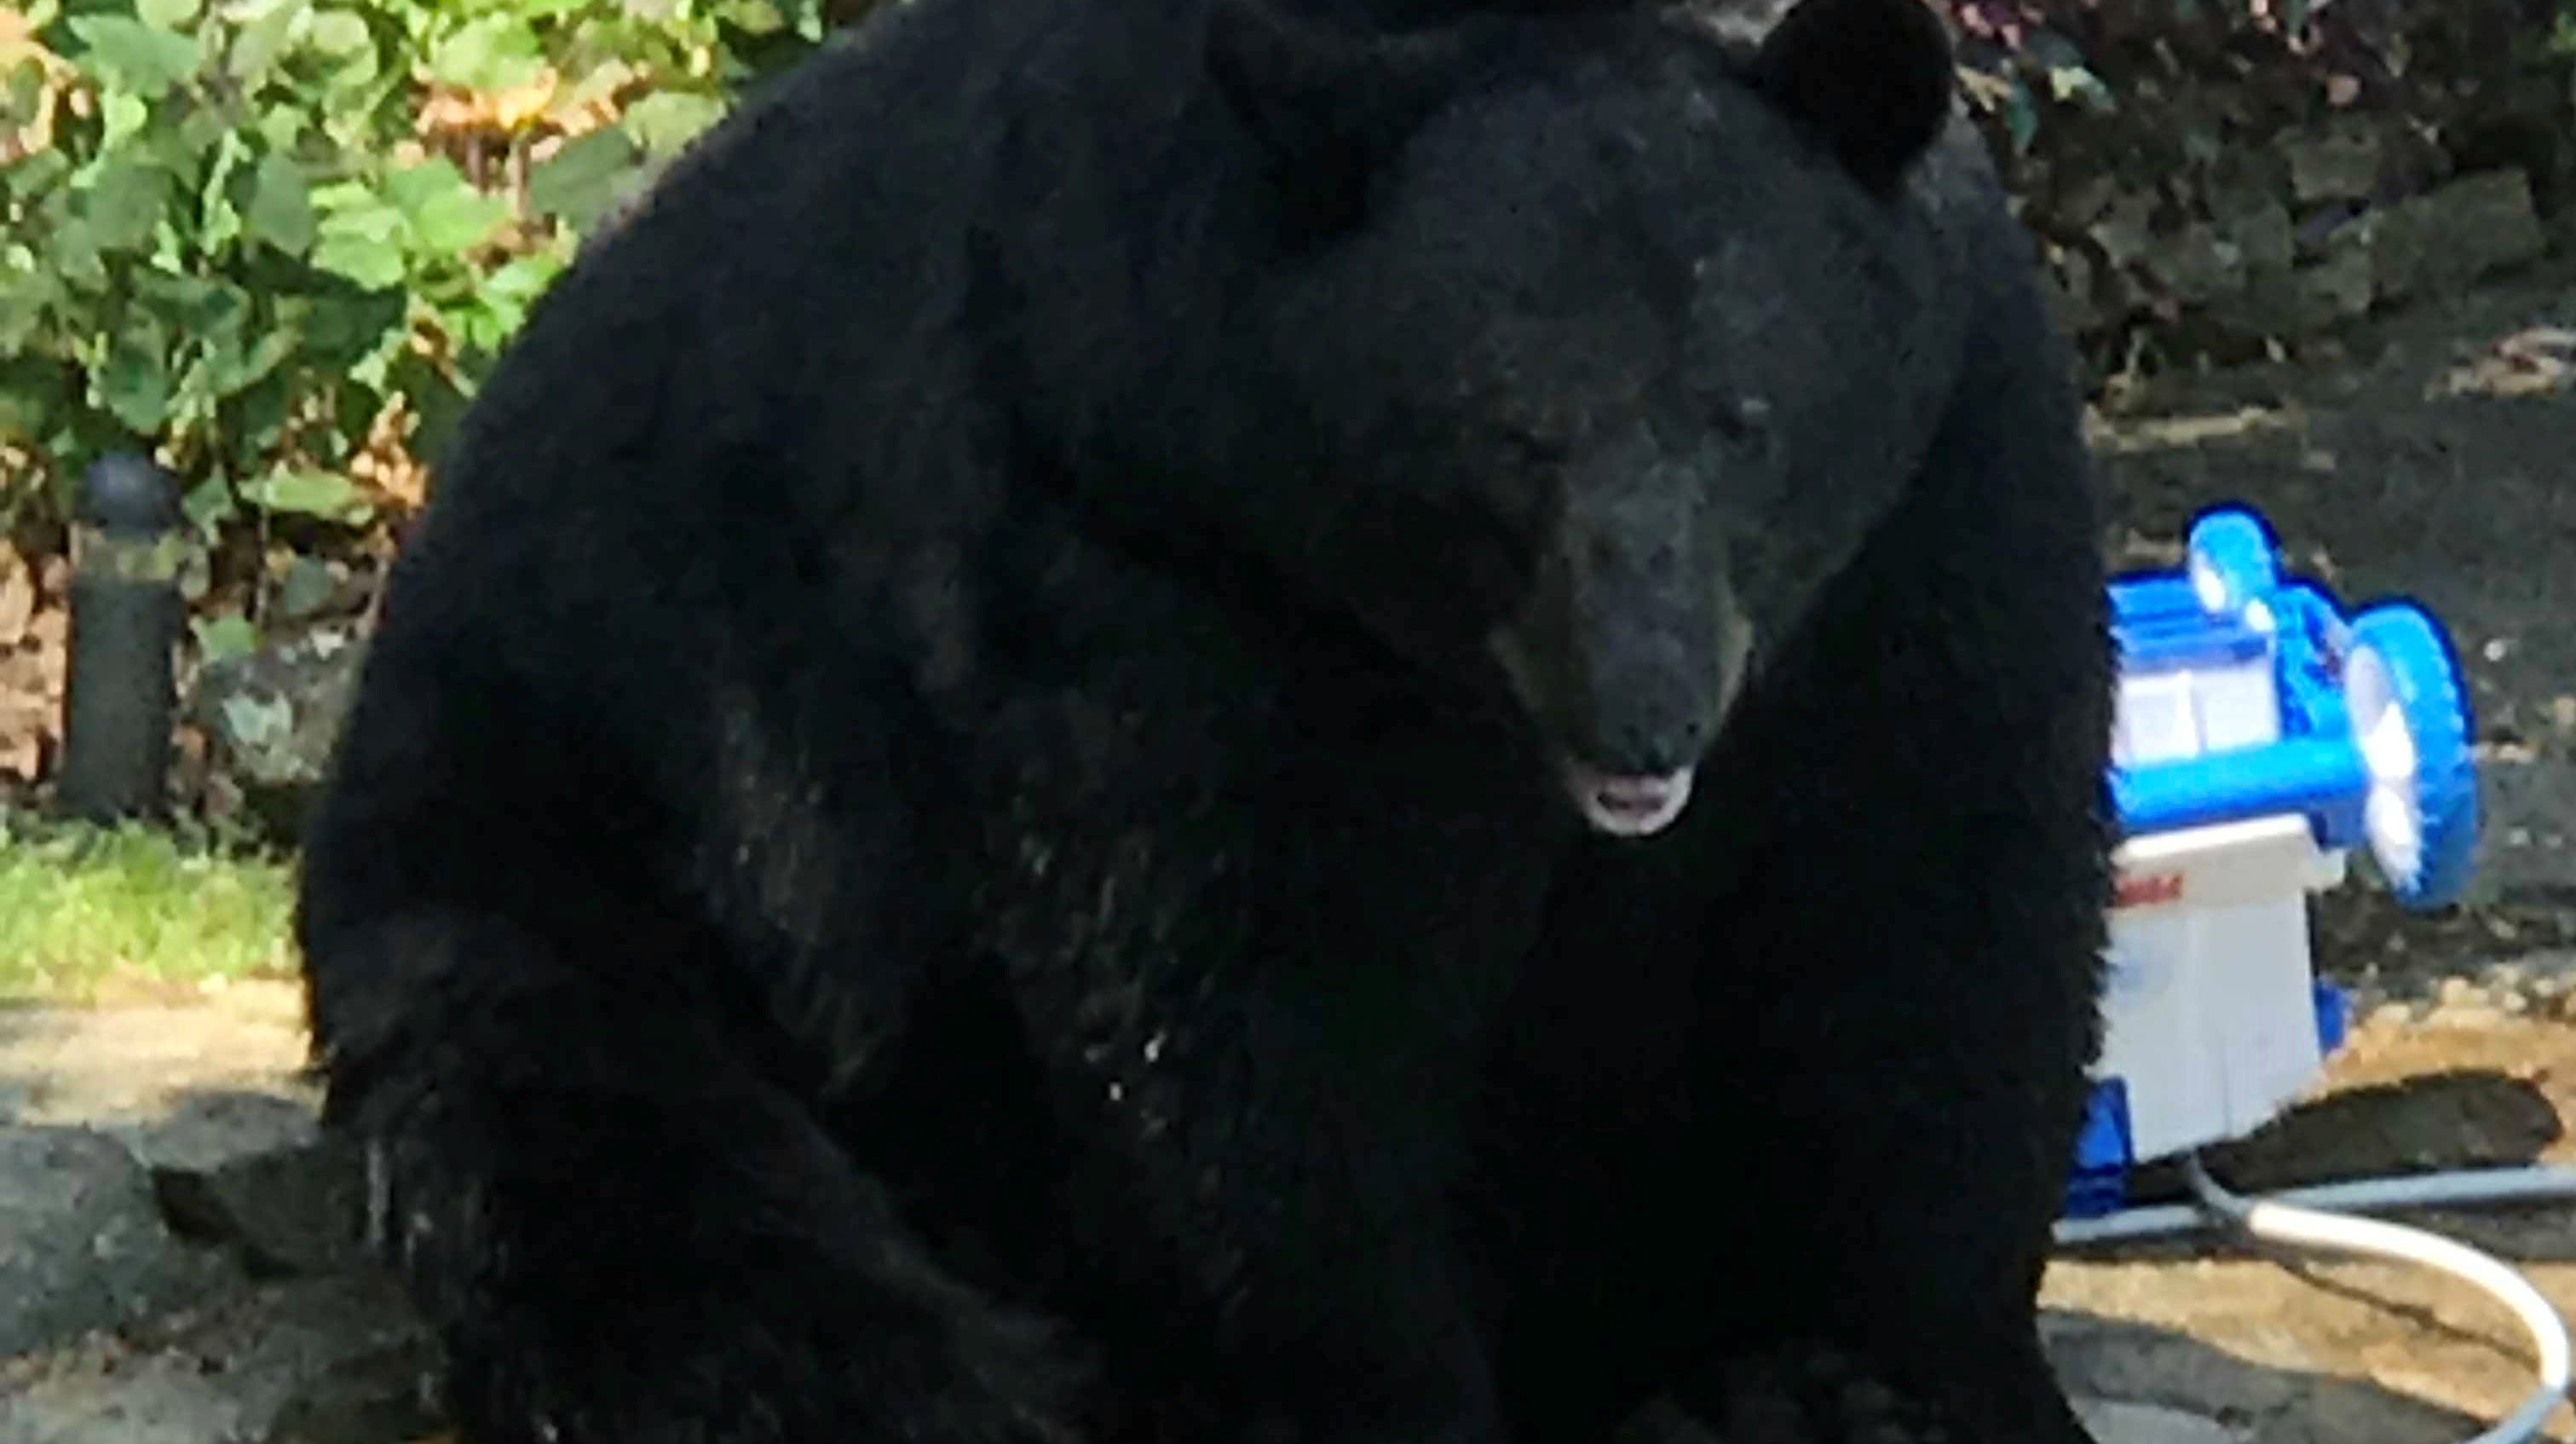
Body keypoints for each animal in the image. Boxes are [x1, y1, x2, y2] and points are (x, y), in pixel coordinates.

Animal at [291, 0, 2115, 1439]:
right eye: (1508, 434)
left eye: (1743, 417)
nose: (1647, 713)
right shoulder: (1152, 536)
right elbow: (1240, 993)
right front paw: (1372, 1384)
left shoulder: (1938, 507)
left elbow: (1933, 909)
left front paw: (1882, 1369)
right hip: (577, 823)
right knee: (646, 1174)